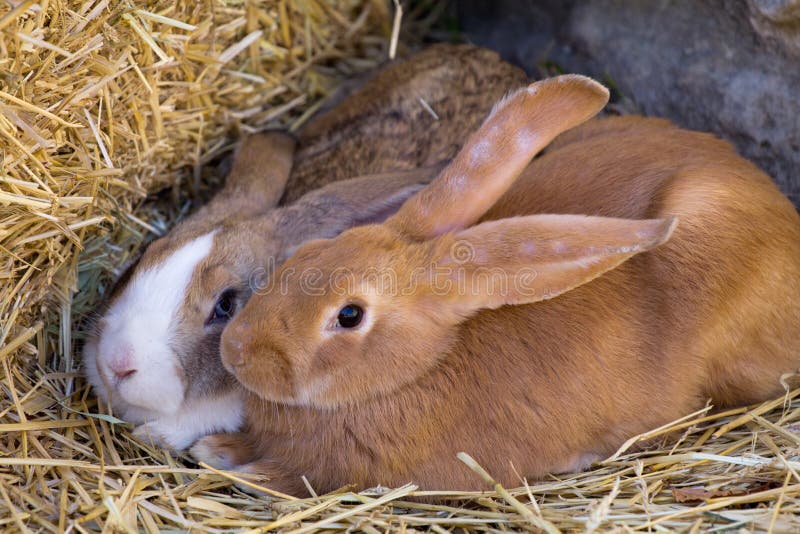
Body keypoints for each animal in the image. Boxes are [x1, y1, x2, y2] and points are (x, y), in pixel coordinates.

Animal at [191, 74, 800, 496]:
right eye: (307, 254)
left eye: (349, 316)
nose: (236, 351)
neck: (416, 371)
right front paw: (219, 446)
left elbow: (288, 479)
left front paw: (229, 461)